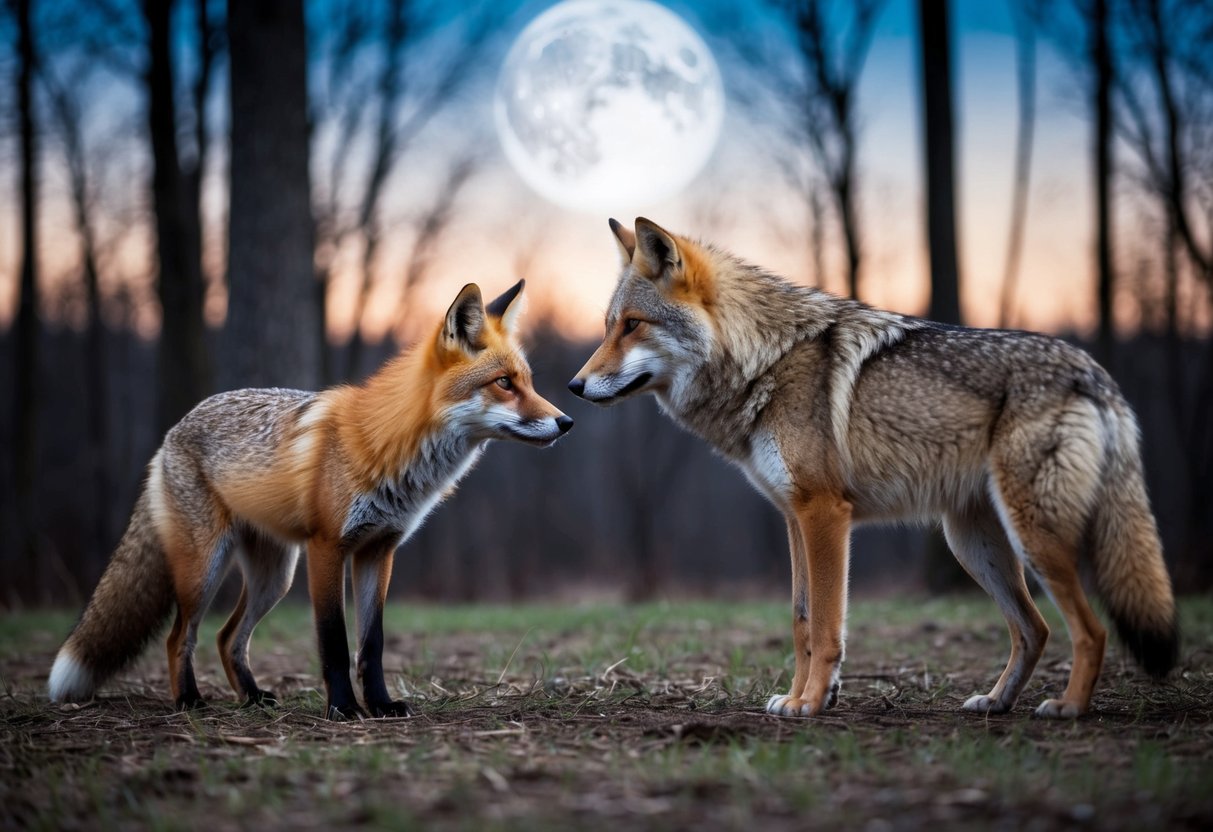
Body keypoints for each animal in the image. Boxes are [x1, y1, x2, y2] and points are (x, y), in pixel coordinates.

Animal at [48, 280, 573, 719]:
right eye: (504, 383)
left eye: (527, 381)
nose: (566, 422)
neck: (394, 448)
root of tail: (173, 431)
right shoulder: (328, 547)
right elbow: (334, 642)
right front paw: (343, 708)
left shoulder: (379, 550)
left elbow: (372, 643)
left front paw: (380, 706)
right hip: (205, 569)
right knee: (181, 636)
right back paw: (189, 701)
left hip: (274, 577)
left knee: (226, 638)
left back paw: (253, 698)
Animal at [569, 217, 1178, 720]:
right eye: (608, 326)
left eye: (633, 325)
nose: (574, 386)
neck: (764, 361)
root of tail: (1094, 373)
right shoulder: (793, 518)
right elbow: (800, 621)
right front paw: (799, 697)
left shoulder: (825, 514)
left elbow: (826, 626)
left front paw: (812, 703)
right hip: (974, 545)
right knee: (1037, 628)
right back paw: (996, 702)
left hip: (1034, 540)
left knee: (1091, 630)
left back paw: (1069, 707)